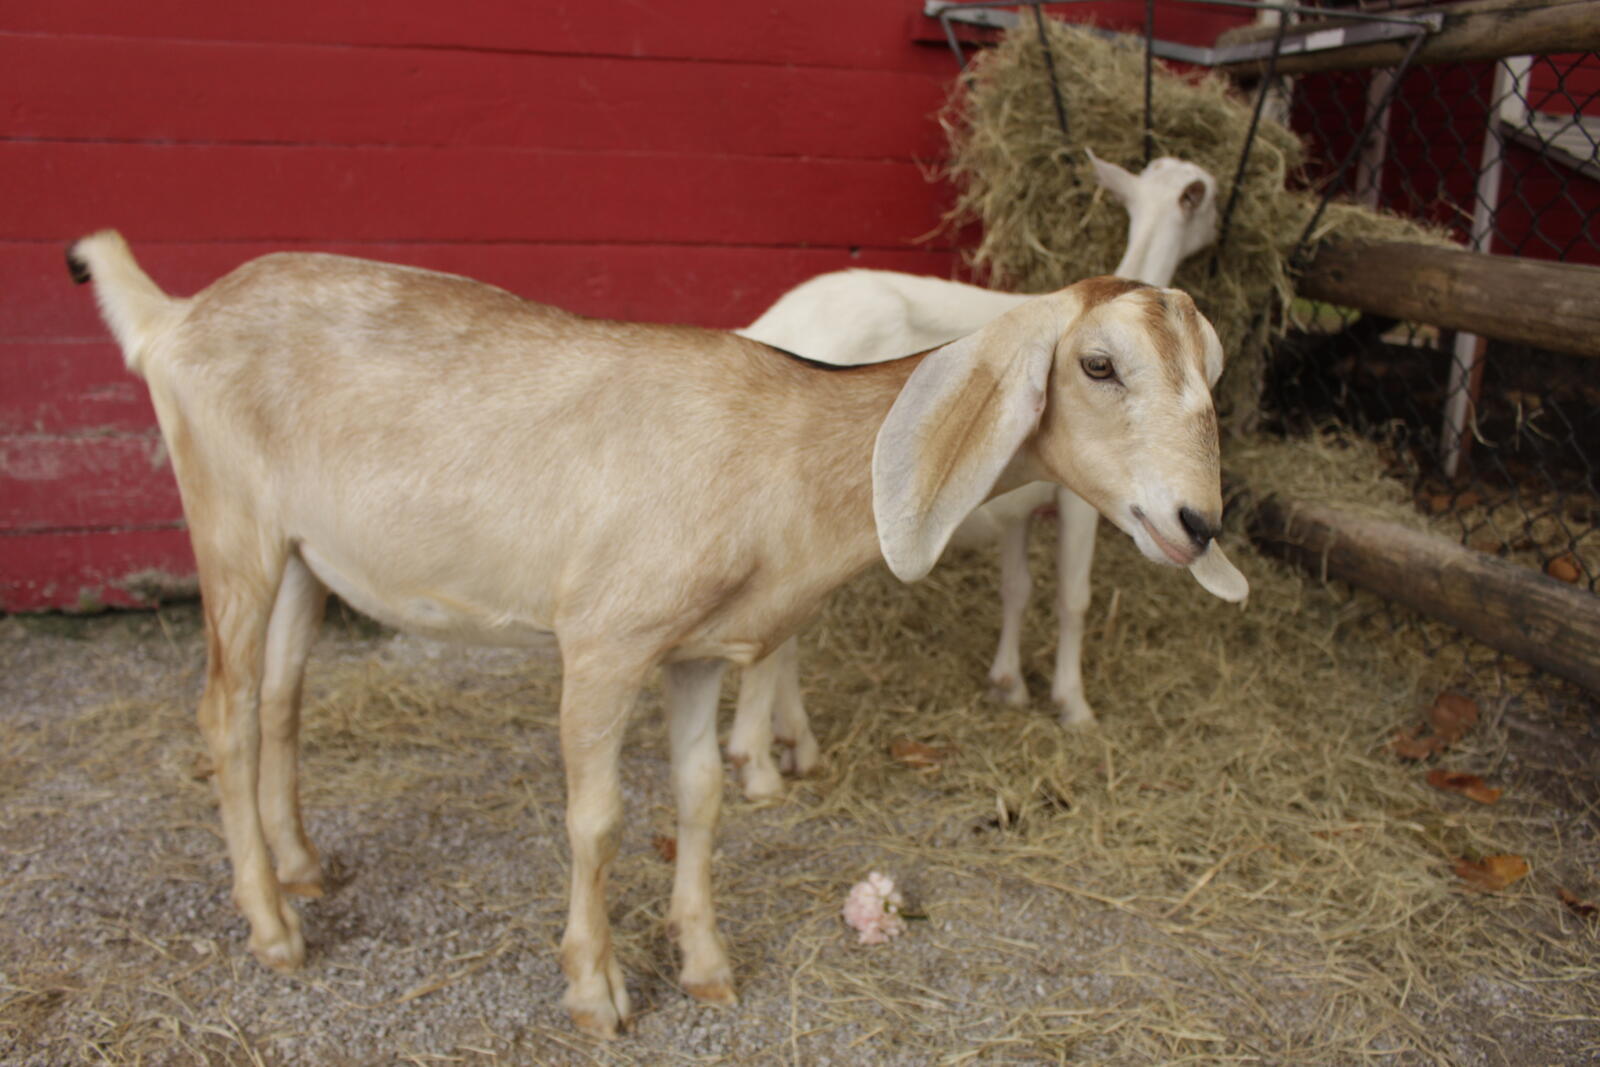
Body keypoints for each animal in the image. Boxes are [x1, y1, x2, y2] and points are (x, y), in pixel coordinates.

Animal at [70, 230, 1234, 1037]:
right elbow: (597, 819)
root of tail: (177, 319)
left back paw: (304, 865)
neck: (781, 447)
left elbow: (702, 798)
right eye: (1097, 365)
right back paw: (274, 927)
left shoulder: (695, 652)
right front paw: (598, 990)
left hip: (307, 558)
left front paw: (707, 964)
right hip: (231, 525)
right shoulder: (603, 641)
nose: (1198, 521)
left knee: (279, 700)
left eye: (1213, 372)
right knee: (222, 714)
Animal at [727, 152, 1241, 799]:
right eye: (1211, 197)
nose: (1222, 228)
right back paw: (759, 764)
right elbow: (1074, 596)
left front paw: (1008, 684)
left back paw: (797, 742)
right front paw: (1073, 705)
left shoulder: (1016, 506)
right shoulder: (1084, 496)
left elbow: (1016, 587)